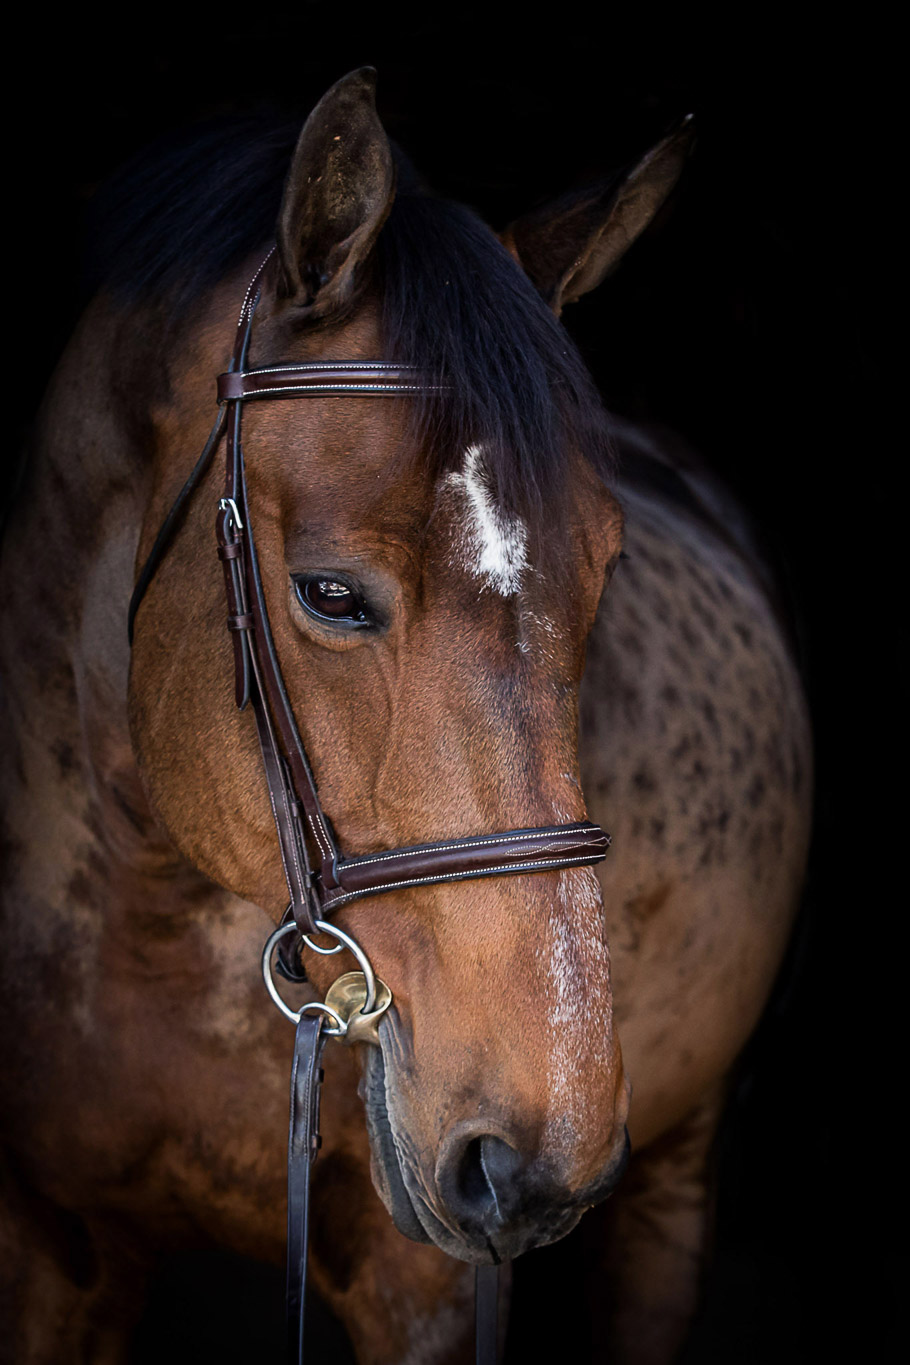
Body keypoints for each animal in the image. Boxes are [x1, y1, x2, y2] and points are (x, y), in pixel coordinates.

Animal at [0, 68, 811, 1364]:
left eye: (604, 579)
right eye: (329, 595)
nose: (543, 1152)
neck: (149, 916)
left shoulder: (423, 1284)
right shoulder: (48, 1243)